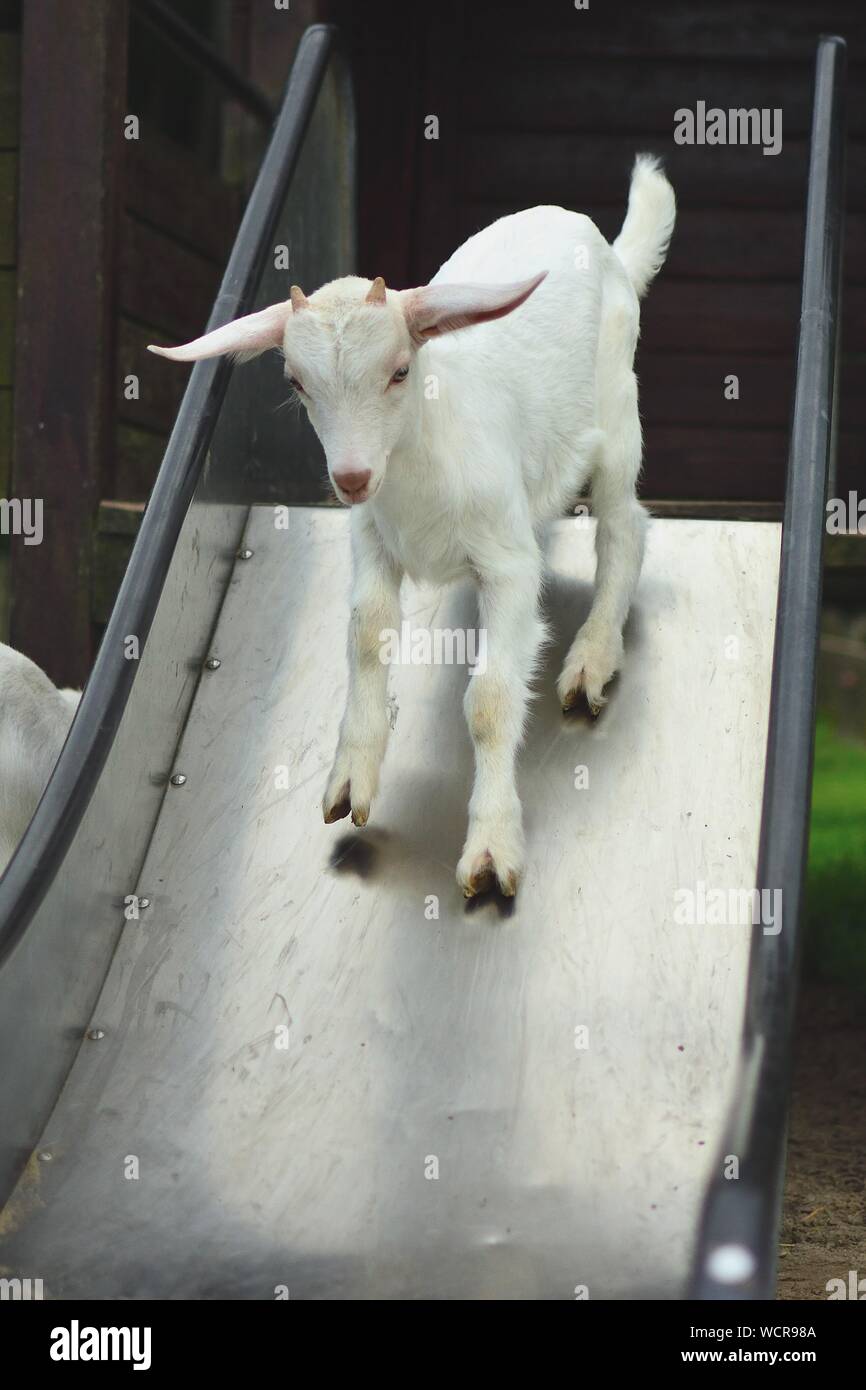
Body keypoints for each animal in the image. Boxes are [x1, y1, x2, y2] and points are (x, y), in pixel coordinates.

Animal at [150, 154, 676, 898]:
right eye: (297, 381)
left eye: (399, 371)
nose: (350, 478)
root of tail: (604, 246)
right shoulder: (372, 540)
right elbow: (366, 633)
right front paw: (351, 779)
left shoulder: (506, 564)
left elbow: (489, 699)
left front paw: (491, 849)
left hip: (616, 410)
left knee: (625, 527)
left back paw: (592, 658)